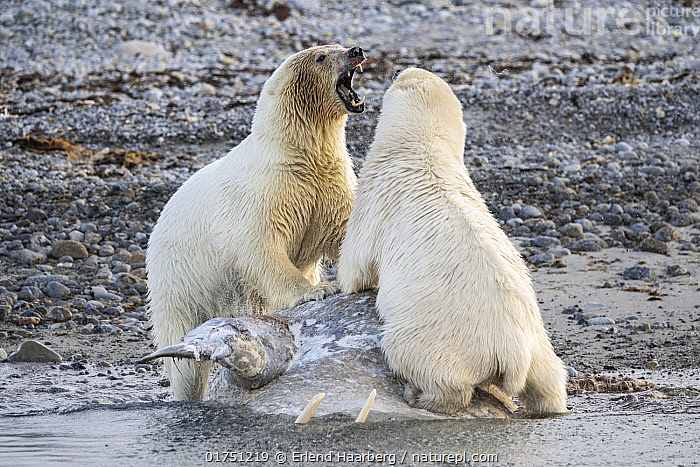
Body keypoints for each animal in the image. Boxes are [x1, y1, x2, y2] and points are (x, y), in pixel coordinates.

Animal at [147, 45, 366, 401]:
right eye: (322, 56)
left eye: (339, 45)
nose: (355, 50)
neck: (294, 153)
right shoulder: (268, 191)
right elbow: (259, 246)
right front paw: (317, 290)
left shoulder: (328, 186)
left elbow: (346, 229)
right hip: (179, 283)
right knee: (184, 362)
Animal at [338, 68, 567, 415]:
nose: (397, 69)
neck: (425, 148)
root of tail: (513, 351)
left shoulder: (375, 194)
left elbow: (356, 264)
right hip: (537, 339)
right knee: (550, 379)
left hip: (440, 335)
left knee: (421, 360)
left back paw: (418, 394)